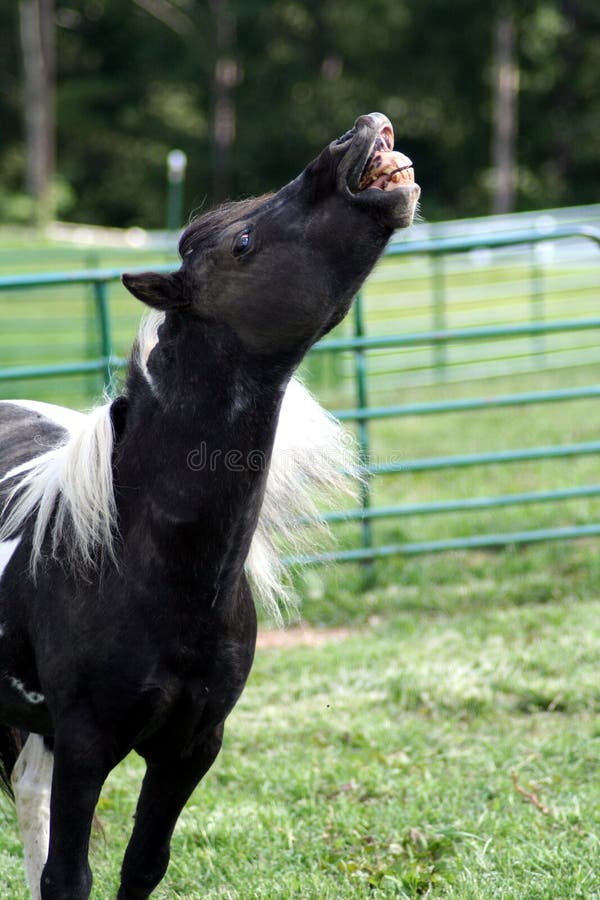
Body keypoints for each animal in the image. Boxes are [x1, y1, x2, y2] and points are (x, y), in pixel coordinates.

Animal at [0, 112, 419, 899]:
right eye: (243, 243)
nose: (360, 133)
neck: (135, 564)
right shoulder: (85, 743)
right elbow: (72, 876)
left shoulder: (191, 747)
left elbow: (142, 863)